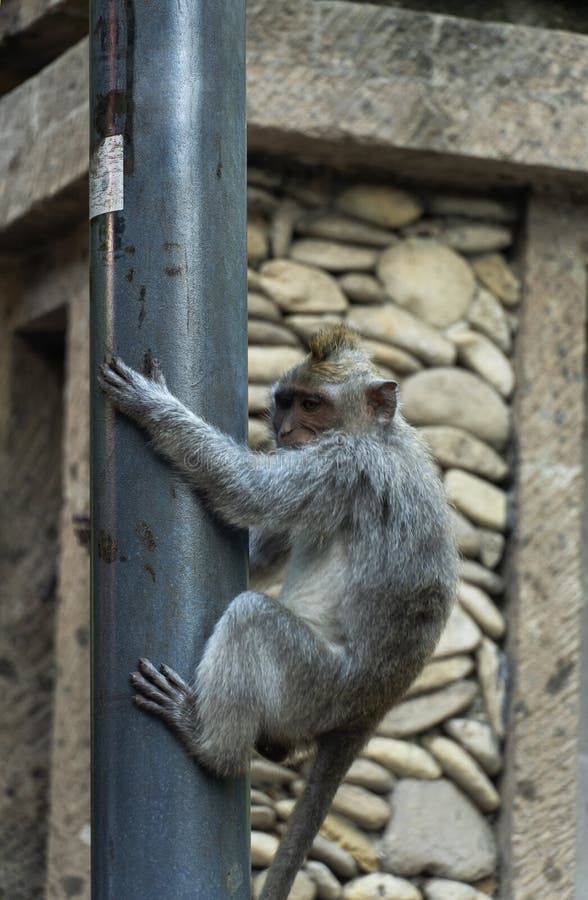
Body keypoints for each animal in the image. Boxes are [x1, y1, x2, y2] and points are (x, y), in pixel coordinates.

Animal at [98, 325, 458, 900]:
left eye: (314, 404)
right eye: (286, 402)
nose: (288, 429)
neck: (380, 434)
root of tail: (373, 707)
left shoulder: (341, 466)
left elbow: (247, 492)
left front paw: (153, 406)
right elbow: (264, 552)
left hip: (317, 688)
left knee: (252, 618)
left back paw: (210, 743)